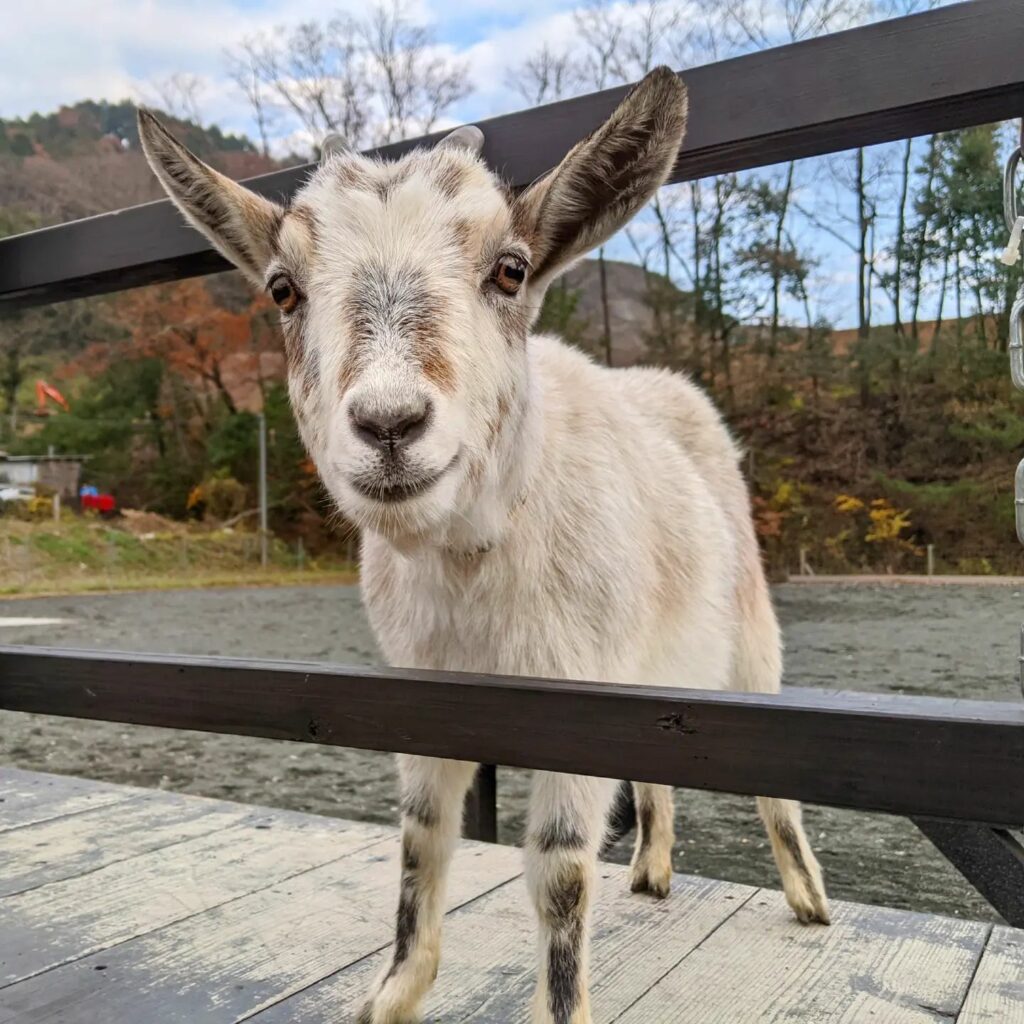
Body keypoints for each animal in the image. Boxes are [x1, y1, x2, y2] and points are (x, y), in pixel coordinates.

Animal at [138, 66, 829, 1024]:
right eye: (282, 288)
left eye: (512, 269)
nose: (390, 425)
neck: (475, 572)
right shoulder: (425, 691)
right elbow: (422, 838)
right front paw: (392, 994)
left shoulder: (581, 690)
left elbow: (560, 873)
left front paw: (559, 1007)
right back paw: (652, 874)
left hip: (749, 626)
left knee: (775, 770)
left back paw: (809, 900)